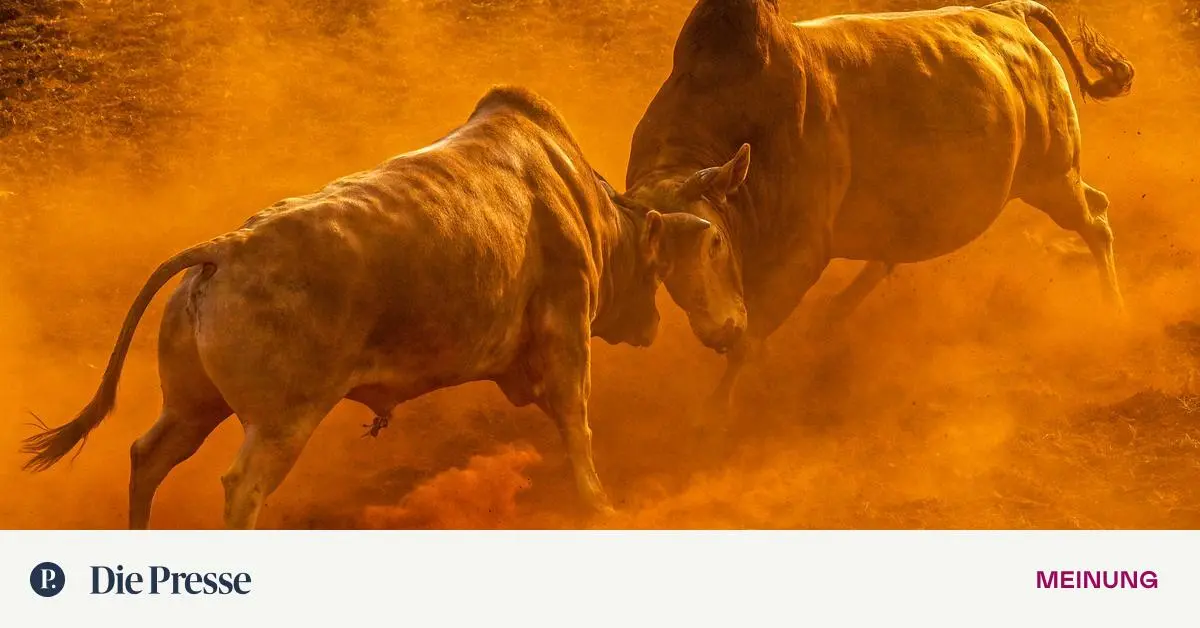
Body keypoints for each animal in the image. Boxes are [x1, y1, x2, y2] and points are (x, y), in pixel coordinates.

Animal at [21, 86, 714, 529]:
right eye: (655, 269)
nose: (652, 325)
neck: (577, 201)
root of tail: (227, 248)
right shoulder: (565, 329)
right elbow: (576, 420)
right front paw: (599, 505)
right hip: (281, 422)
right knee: (241, 487)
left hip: (193, 407)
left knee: (148, 455)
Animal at [623, 0, 1134, 414]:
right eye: (658, 263)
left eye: (713, 240)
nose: (718, 332)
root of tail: (1008, 12)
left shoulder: (802, 254)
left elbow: (752, 340)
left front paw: (716, 406)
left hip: (1052, 176)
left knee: (1096, 220)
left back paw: (1114, 310)